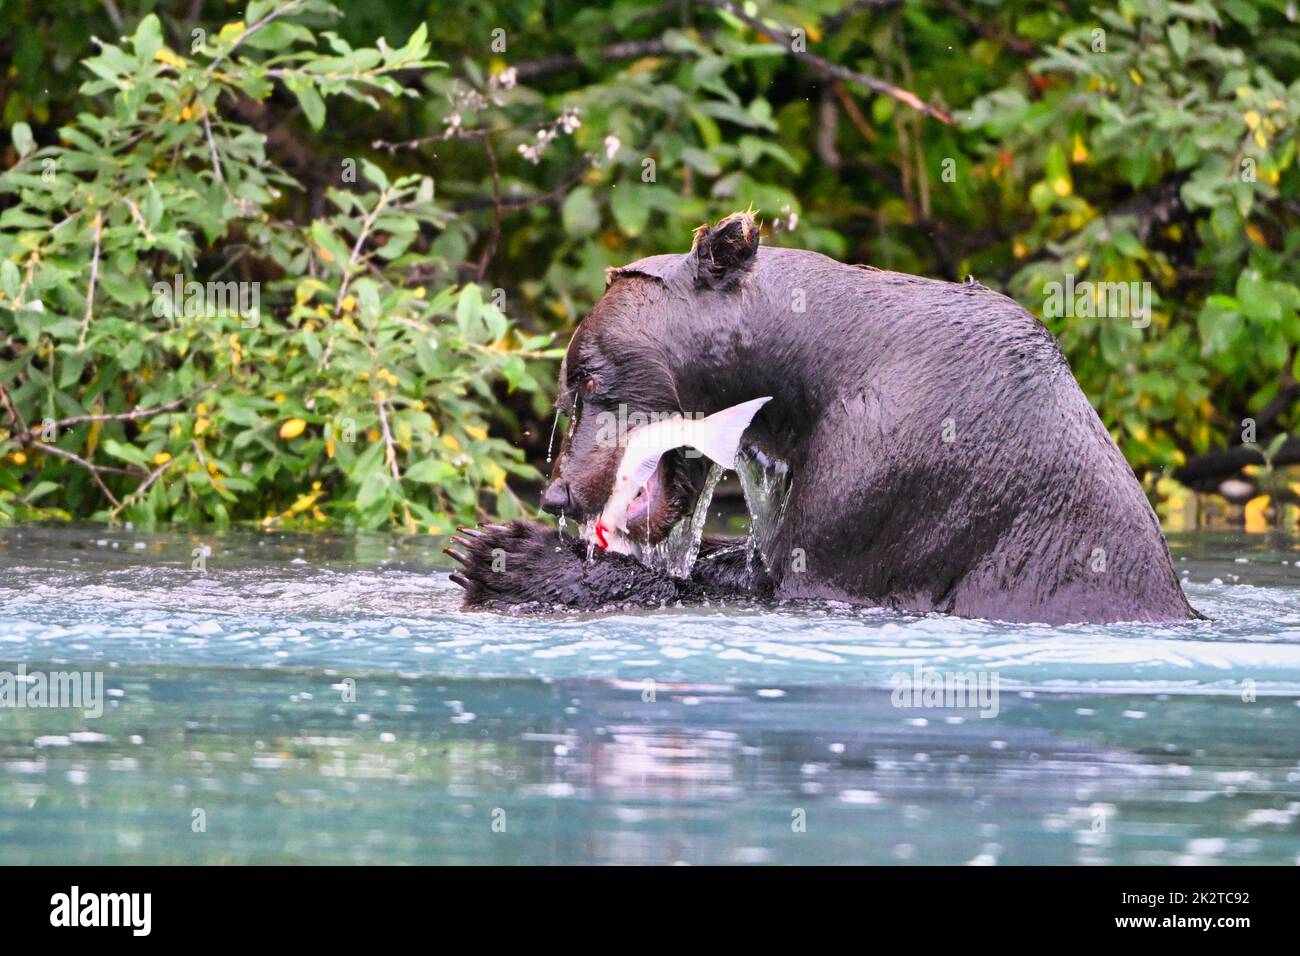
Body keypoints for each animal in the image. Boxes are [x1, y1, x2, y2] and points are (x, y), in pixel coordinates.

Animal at [447, 212, 1199, 625]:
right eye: (568, 389)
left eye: (588, 375)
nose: (558, 491)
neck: (805, 380)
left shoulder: (903, 462)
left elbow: (795, 576)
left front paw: (501, 553)